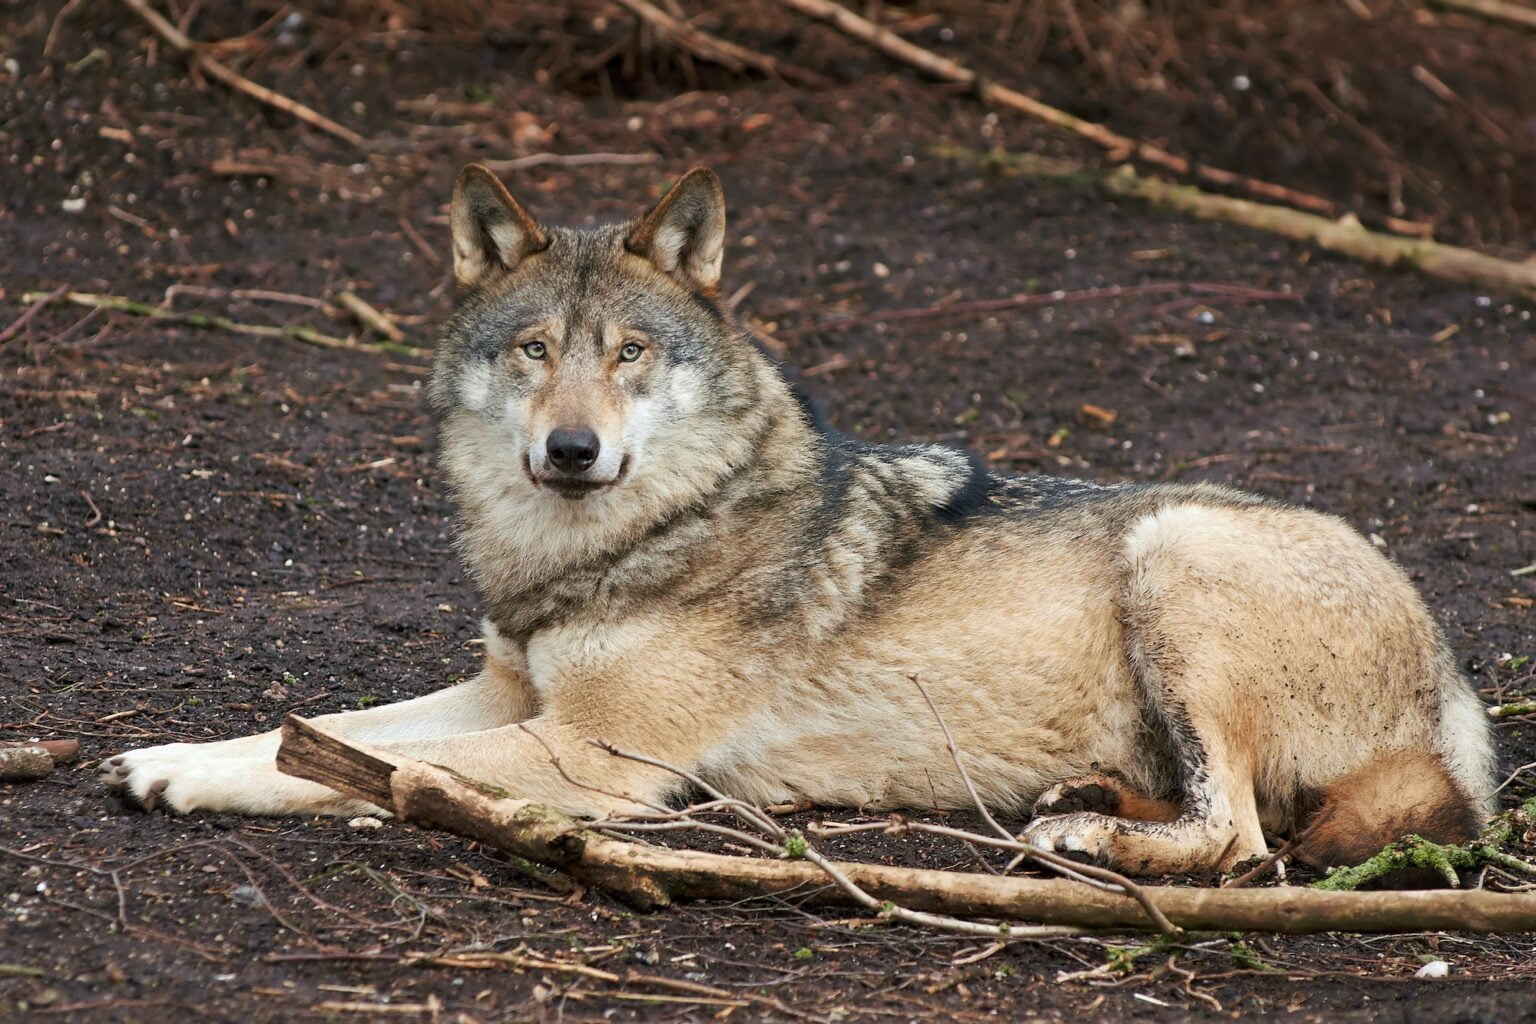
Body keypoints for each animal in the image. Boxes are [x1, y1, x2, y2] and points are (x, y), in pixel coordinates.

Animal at [101, 165, 1496, 876]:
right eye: (535, 348)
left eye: (629, 352)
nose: (571, 449)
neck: (620, 541)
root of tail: (1459, 696)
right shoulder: (510, 693)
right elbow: (322, 729)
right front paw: (174, 751)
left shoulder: (596, 758)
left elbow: (358, 763)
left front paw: (194, 780)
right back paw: (1091, 792)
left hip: (1176, 553)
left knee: (1242, 841)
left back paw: (1089, 829)